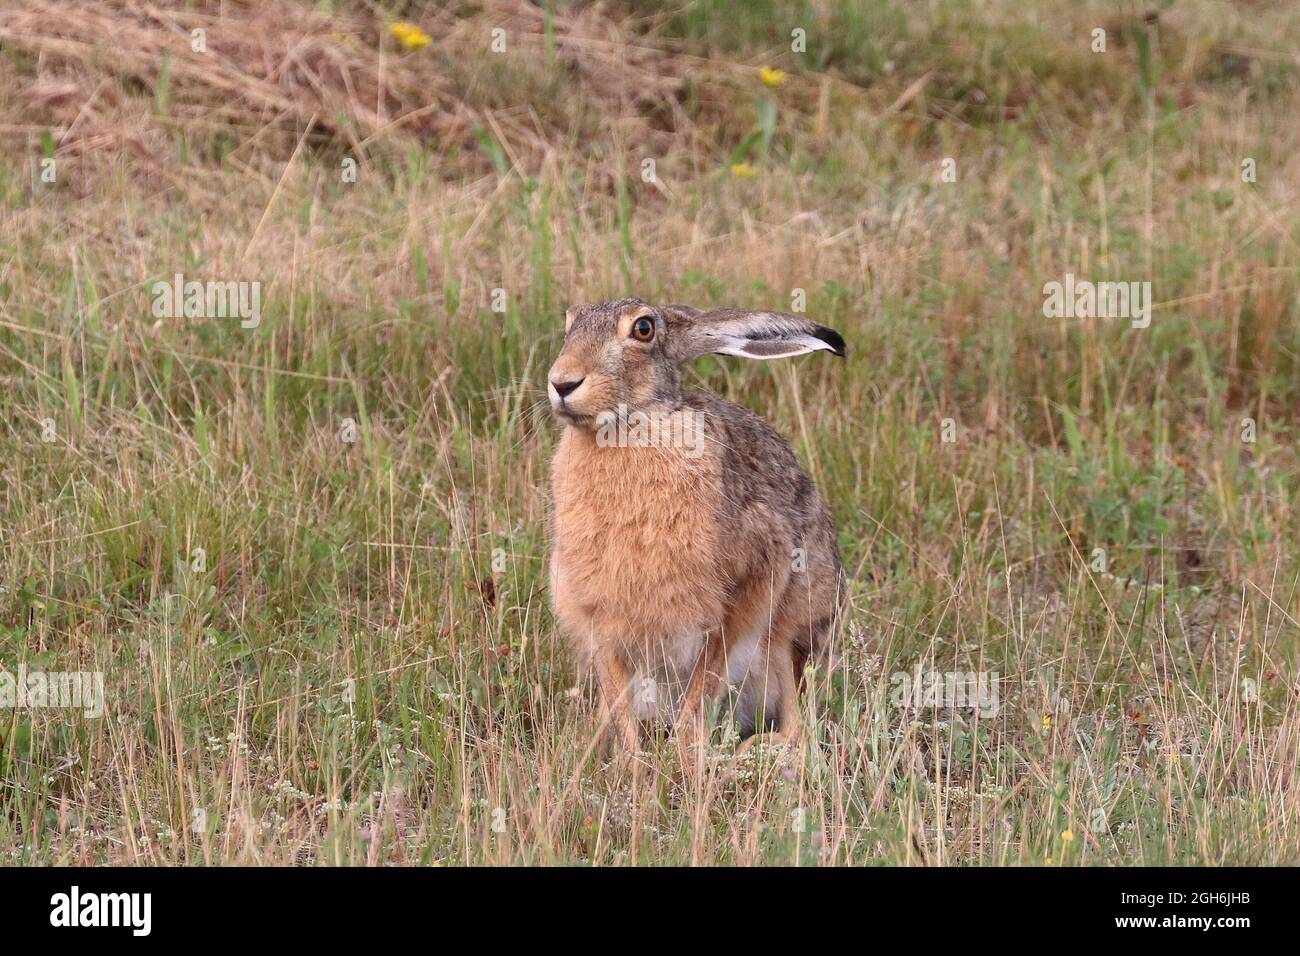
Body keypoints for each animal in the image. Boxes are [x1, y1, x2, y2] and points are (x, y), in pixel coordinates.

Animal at [547, 298, 846, 757]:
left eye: (644, 329)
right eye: (569, 322)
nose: (562, 383)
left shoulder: (750, 585)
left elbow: (705, 681)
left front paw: (683, 753)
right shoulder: (598, 616)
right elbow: (618, 698)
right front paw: (631, 761)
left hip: (794, 630)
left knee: (796, 713)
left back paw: (758, 750)